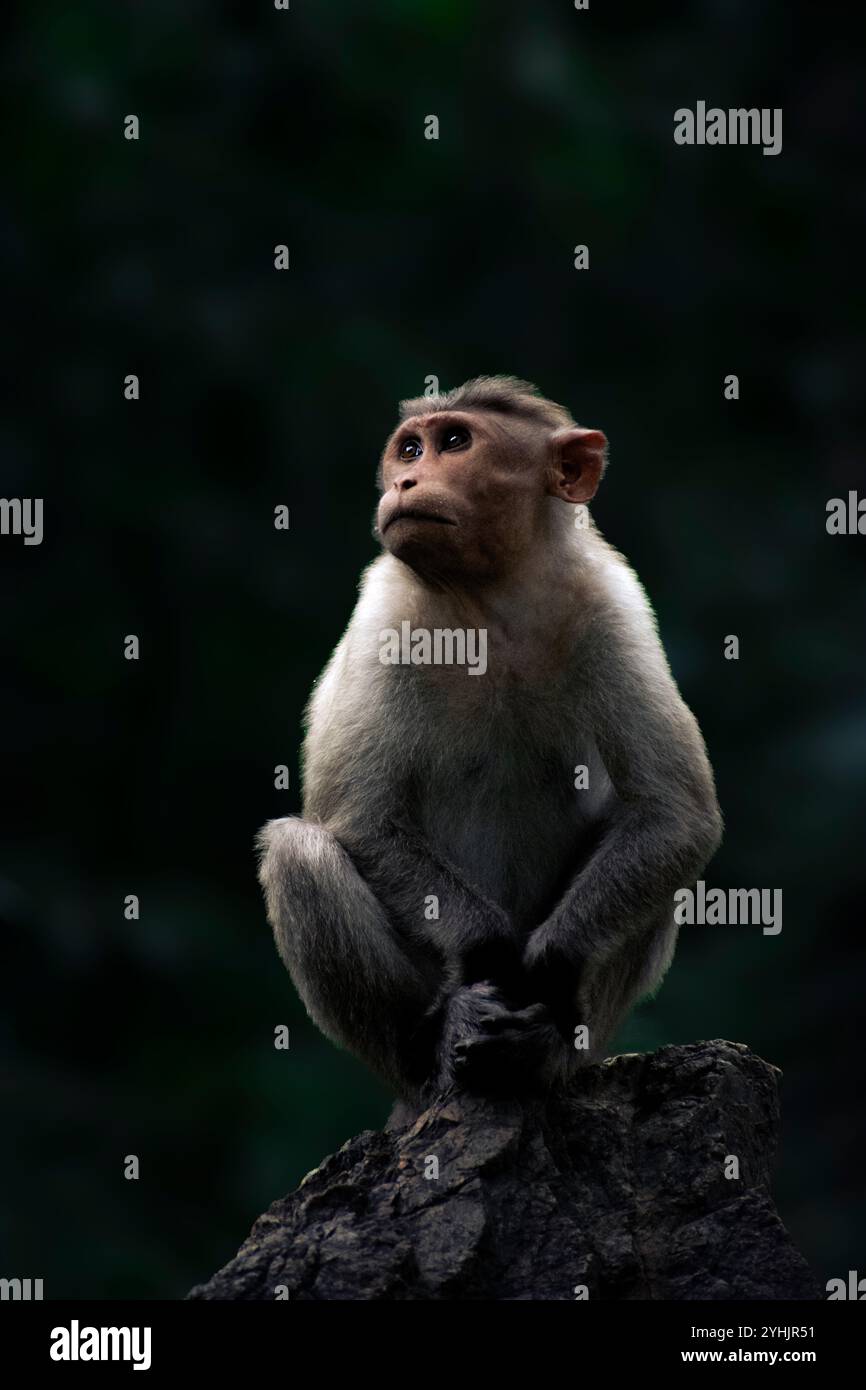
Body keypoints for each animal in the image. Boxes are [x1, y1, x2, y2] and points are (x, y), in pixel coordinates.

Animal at [257, 376, 722, 1111]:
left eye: (454, 442)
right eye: (410, 449)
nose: (406, 480)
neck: (490, 602)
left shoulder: (612, 604)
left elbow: (674, 815)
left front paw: (545, 983)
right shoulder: (387, 611)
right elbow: (361, 818)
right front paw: (492, 958)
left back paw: (549, 1050)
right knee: (297, 851)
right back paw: (434, 1044)